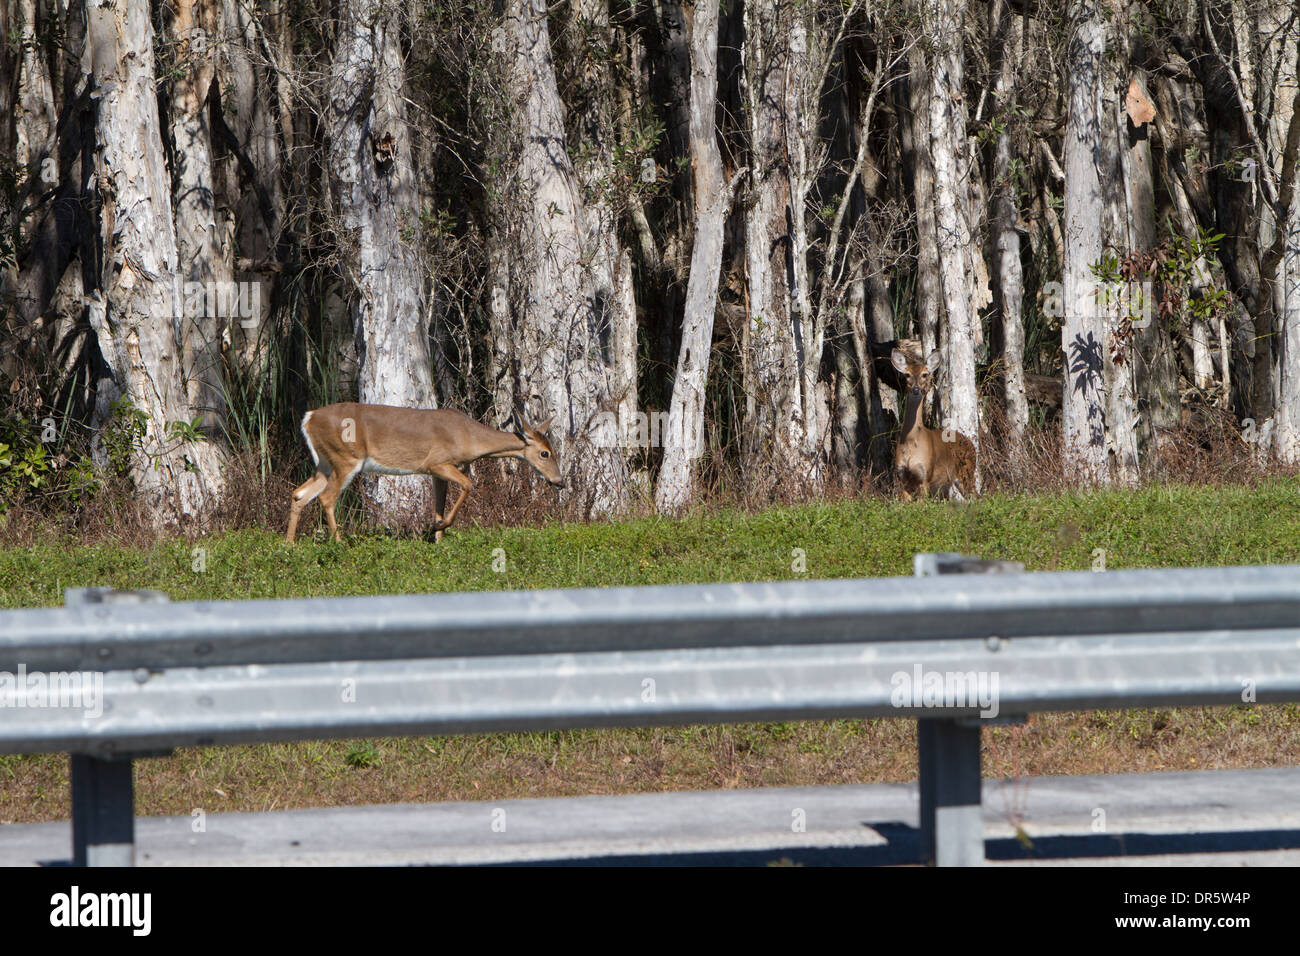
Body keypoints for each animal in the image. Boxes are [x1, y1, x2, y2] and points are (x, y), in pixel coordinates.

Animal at [285, 403, 565, 544]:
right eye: (545, 453)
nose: (559, 482)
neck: (470, 437)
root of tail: (308, 418)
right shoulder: (437, 462)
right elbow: (469, 485)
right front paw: (439, 527)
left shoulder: (438, 472)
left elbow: (440, 503)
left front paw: (438, 538)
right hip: (345, 457)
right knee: (327, 498)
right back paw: (340, 543)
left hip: (324, 462)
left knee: (299, 494)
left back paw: (289, 544)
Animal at [891, 348, 977, 502]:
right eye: (907, 374)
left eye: (925, 374)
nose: (916, 389)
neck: (911, 443)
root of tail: (971, 443)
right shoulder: (902, 477)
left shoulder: (925, 476)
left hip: (967, 472)